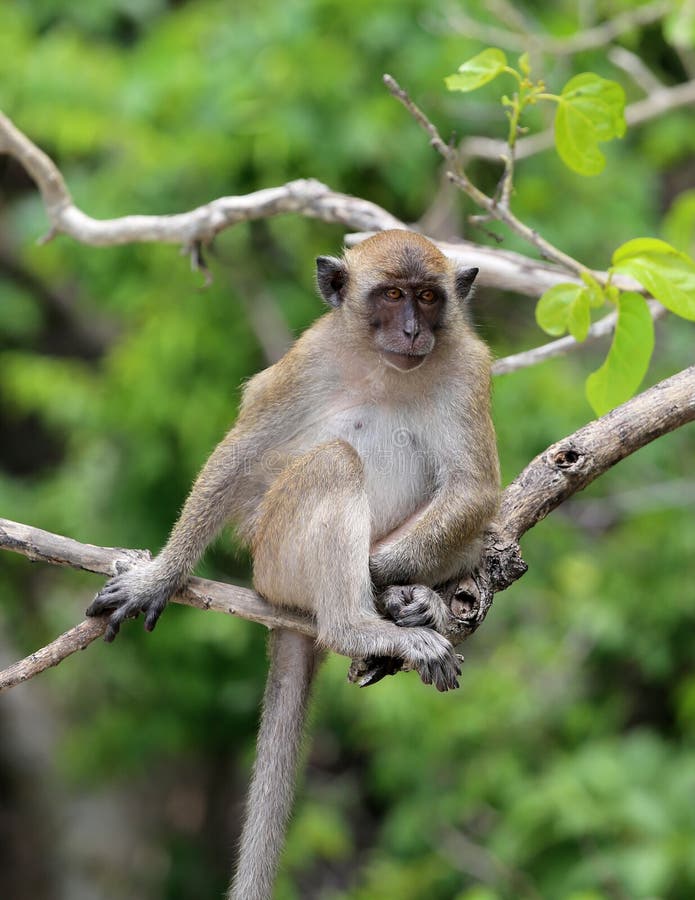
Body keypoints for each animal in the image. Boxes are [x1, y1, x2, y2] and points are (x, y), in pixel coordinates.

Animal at [86, 229, 500, 900]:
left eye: (429, 297)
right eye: (391, 296)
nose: (414, 331)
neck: (383, 366)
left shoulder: (469, 368)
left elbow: (473, 491)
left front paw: (408, 595)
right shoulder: (312, 356)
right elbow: (240, 452)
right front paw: (162, 576)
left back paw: (408, 603)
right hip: (277, 555)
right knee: (332, 462)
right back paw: (355, 624)